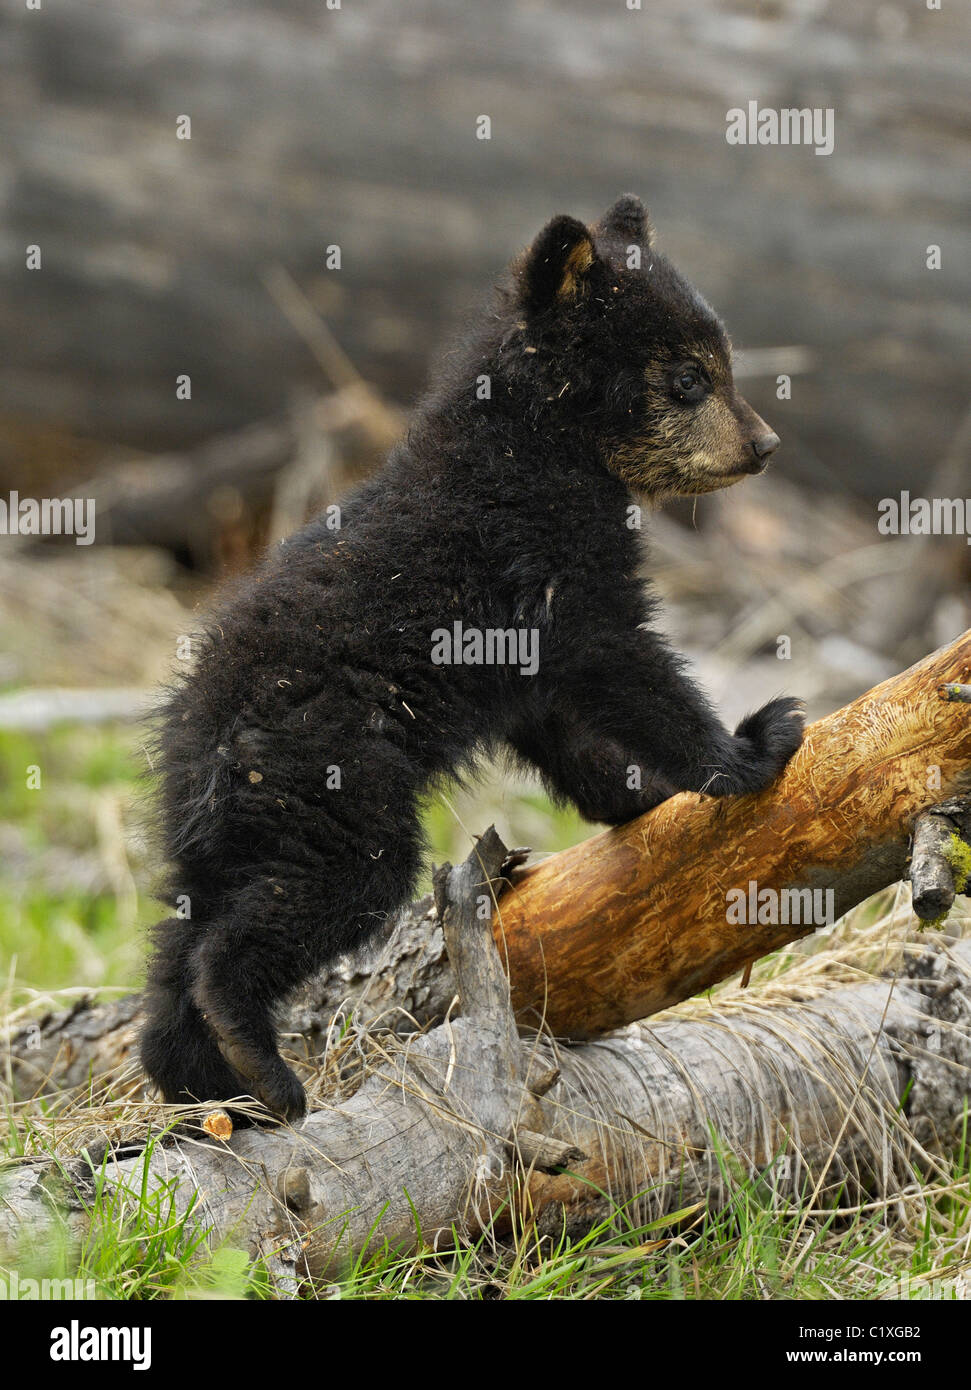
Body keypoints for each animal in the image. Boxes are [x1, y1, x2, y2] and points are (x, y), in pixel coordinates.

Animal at [140, 194, 803, 1122]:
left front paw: (640, 793)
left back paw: (200, 1084)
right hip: (332, 779)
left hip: (230, 825)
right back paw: (259, 1059)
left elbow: (563, 717)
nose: (764, 444)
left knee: (181, 930)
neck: (539, 438)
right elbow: (619, 656)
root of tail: (198, 744)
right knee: (304, 900)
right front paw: (751, 746)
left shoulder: (524, 635)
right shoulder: (540, 548)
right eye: (688, 377)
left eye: (724, 361)